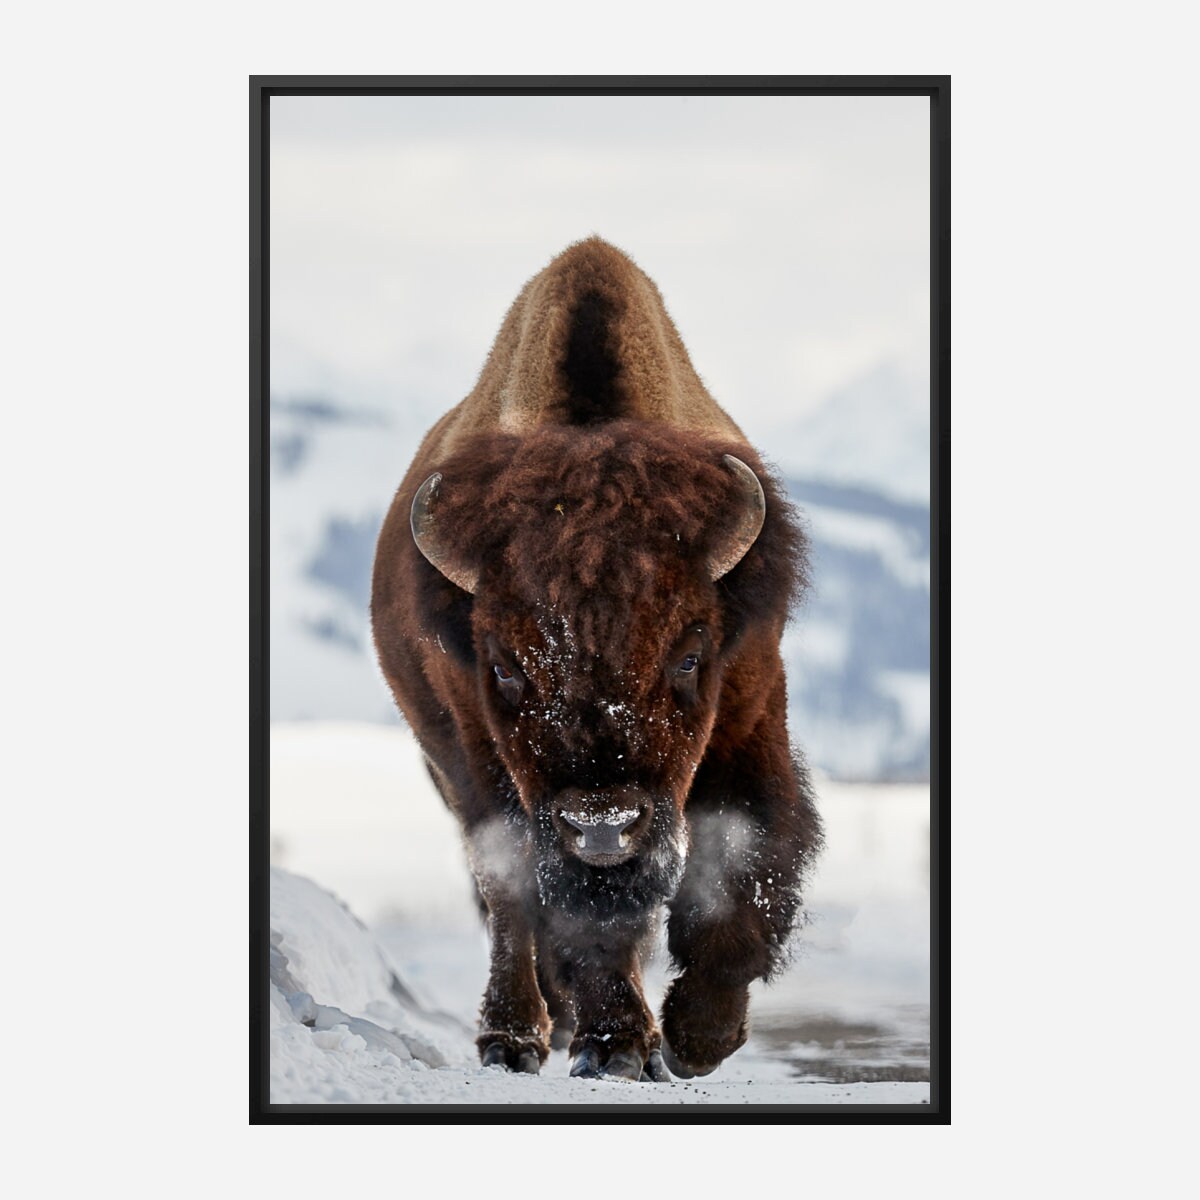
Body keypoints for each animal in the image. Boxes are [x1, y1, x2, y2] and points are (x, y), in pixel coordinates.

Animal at [371, 237, 822, 1082]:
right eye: (505, 667)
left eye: (690, 655)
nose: (604, 827)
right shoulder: (489, 763)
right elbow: (563, 908)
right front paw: (617, 1045)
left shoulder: (750, 715)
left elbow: (745, 859)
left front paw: (698, 1037)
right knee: (509, 898)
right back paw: (516, 1036)